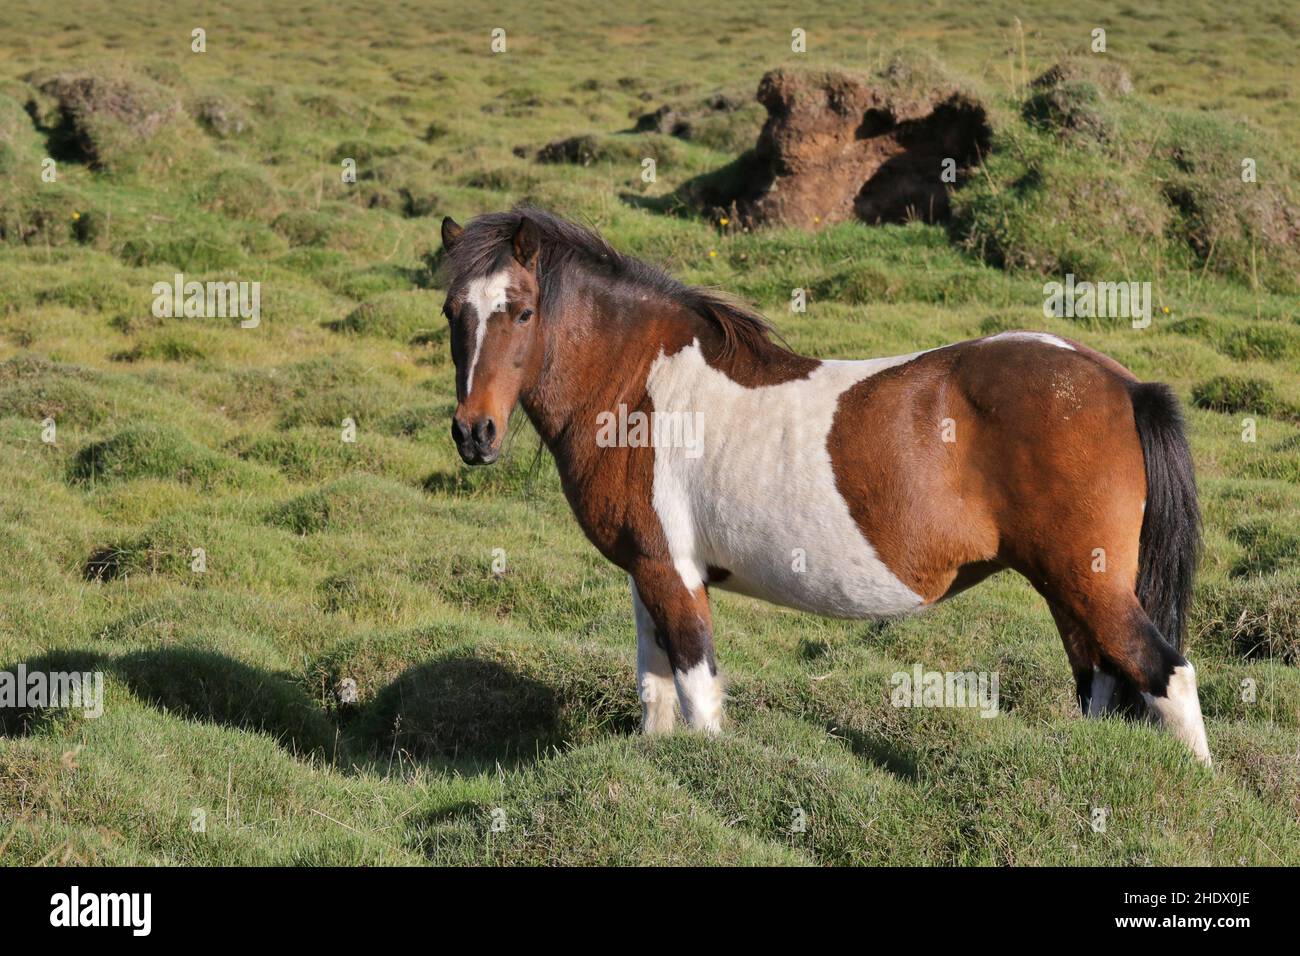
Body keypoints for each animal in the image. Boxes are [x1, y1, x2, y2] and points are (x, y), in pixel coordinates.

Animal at [437, 207, 1211, 766]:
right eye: (452, 313)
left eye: (523, 311)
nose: (474, 433)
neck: (639, 386)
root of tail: (1122, 385)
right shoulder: (648, 572)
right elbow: (655, 690)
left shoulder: (673, 574)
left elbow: (696, 694)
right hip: (1067, 587)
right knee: (1103, 680)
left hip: (1089, 583)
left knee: (1168, 675)